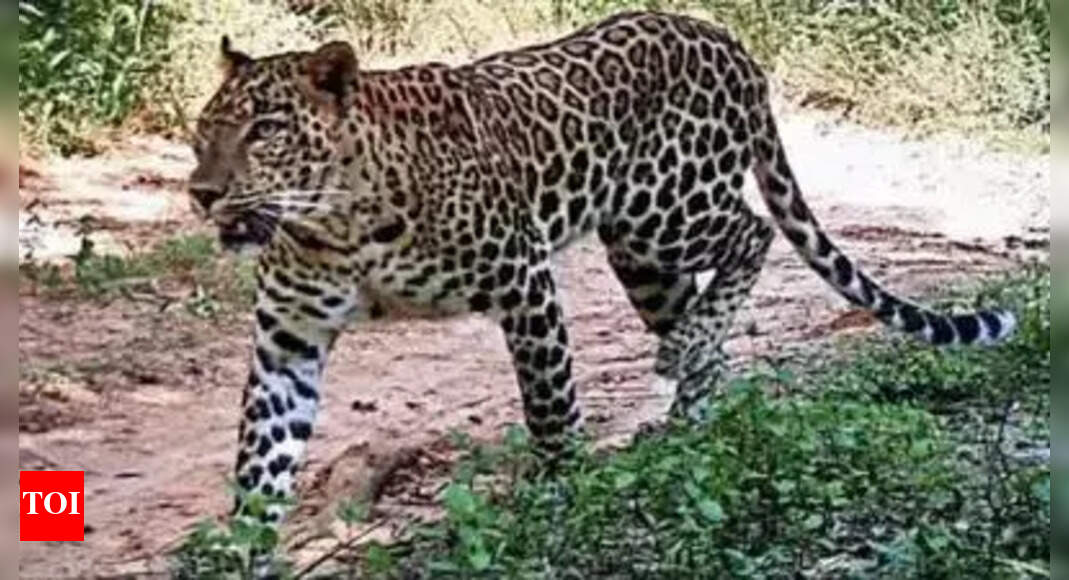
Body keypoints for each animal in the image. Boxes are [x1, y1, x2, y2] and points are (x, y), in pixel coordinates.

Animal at [189, 9, 1016, 538]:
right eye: (202, 134)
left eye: (266, 131)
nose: (200, 192)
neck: (333, 223)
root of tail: (725, 39)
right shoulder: (288, 339)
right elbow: (261, 459)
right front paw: (241, 551)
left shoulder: (522, 279)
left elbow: (550, 402)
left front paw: (560, 490)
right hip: (640, 254)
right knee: (703, 320)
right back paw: (687, 406)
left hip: (665, 208)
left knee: (749, 232)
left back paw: (682, 353)